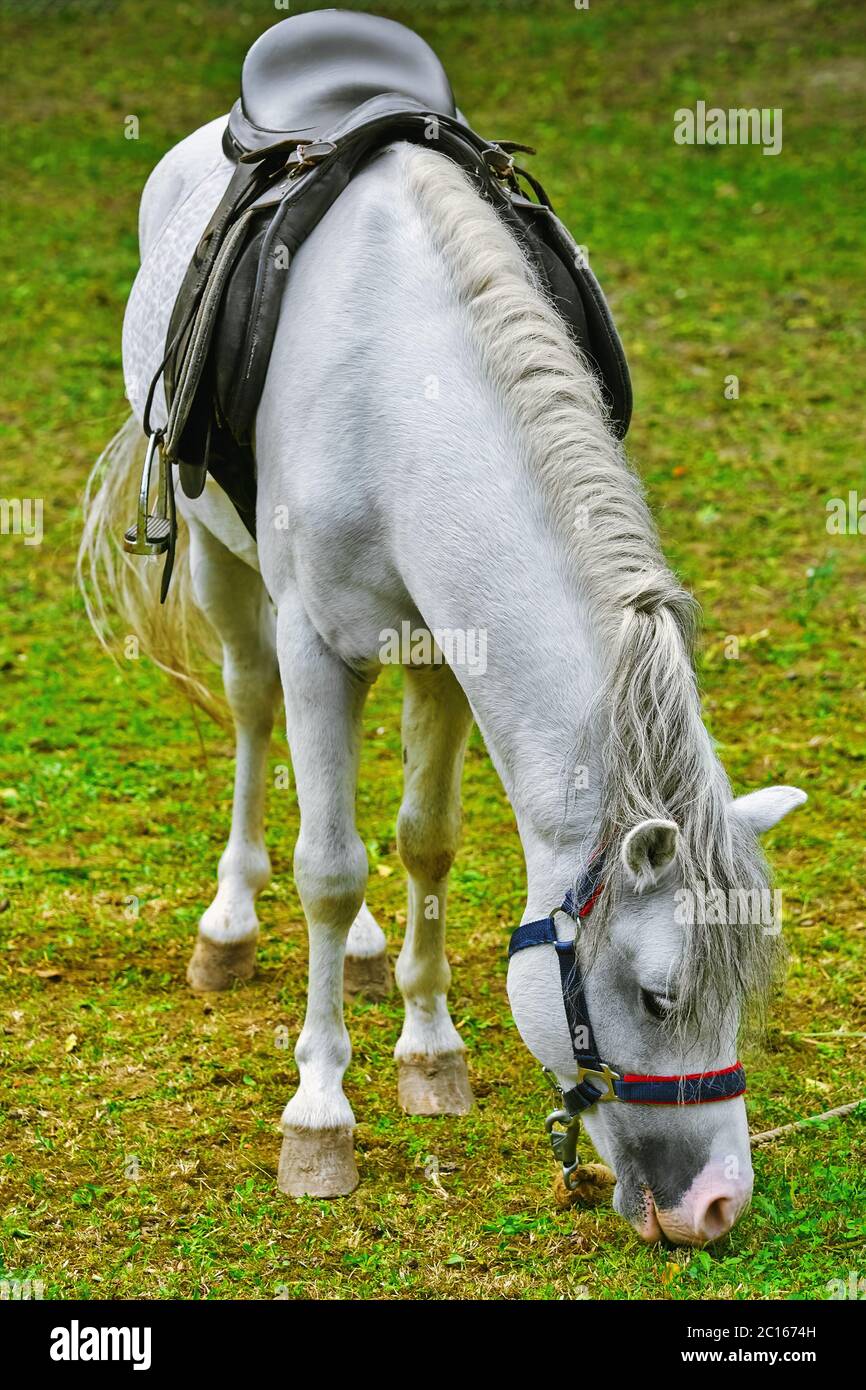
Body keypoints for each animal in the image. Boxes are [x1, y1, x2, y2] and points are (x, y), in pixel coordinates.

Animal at [79, 107, 806, 1246]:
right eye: (656, 998)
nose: (719, 1201)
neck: (398, 396)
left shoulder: (449, 656)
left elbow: (426, 844)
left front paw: (429, 1050)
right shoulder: (315, 643)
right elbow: (328, 870)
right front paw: (319, 1115)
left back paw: (368, 954)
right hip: (219, 563)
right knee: (253, 710)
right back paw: (230, 922)